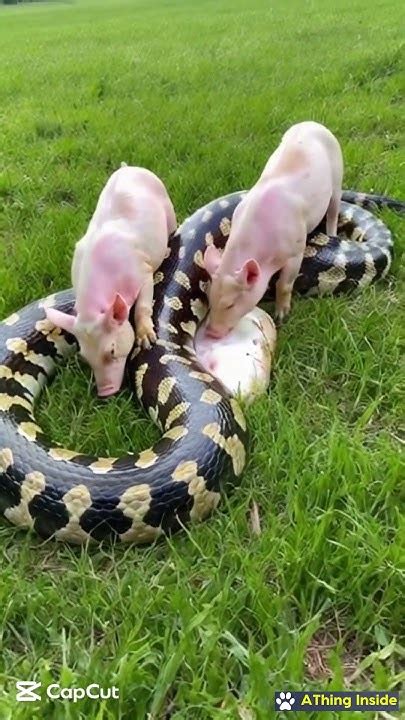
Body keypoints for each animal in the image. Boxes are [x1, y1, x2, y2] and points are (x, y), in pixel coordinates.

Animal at [46, 165, 177, 397]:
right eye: (85, 357)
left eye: (112, 351)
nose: (106, 393)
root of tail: (129, 167)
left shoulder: (143, 270)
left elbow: (143, 306)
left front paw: (147, 341)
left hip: (166, 203)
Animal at [203, 121, 343, 338]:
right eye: (210, 300)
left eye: (231, 304)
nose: (211, 333)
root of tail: (312, 123)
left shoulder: (296, 250)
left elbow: (284, 285)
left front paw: (281, 316)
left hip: (337, 175)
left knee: (333, 210)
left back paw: (331, 233)